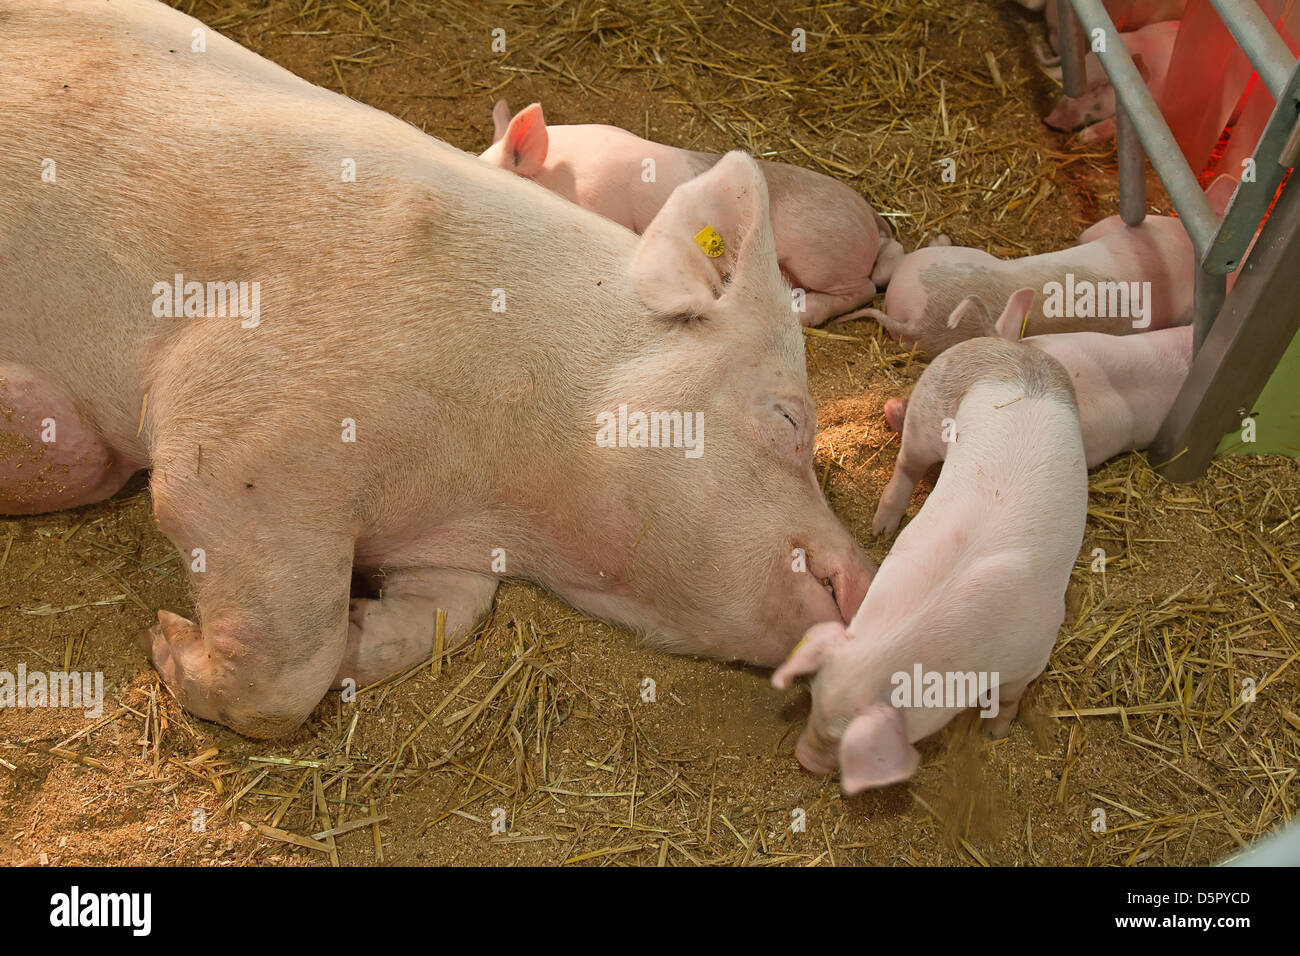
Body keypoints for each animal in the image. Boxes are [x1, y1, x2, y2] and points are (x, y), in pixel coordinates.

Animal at [772, 338, 1087, 791]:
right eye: (812, 700)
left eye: (843, 740)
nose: (803, 758)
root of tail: (1015, 348)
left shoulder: (1036, 646)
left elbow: (1011, 696)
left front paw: (995, 732)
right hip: (928, 416)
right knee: (908, 462)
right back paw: (880, 529)